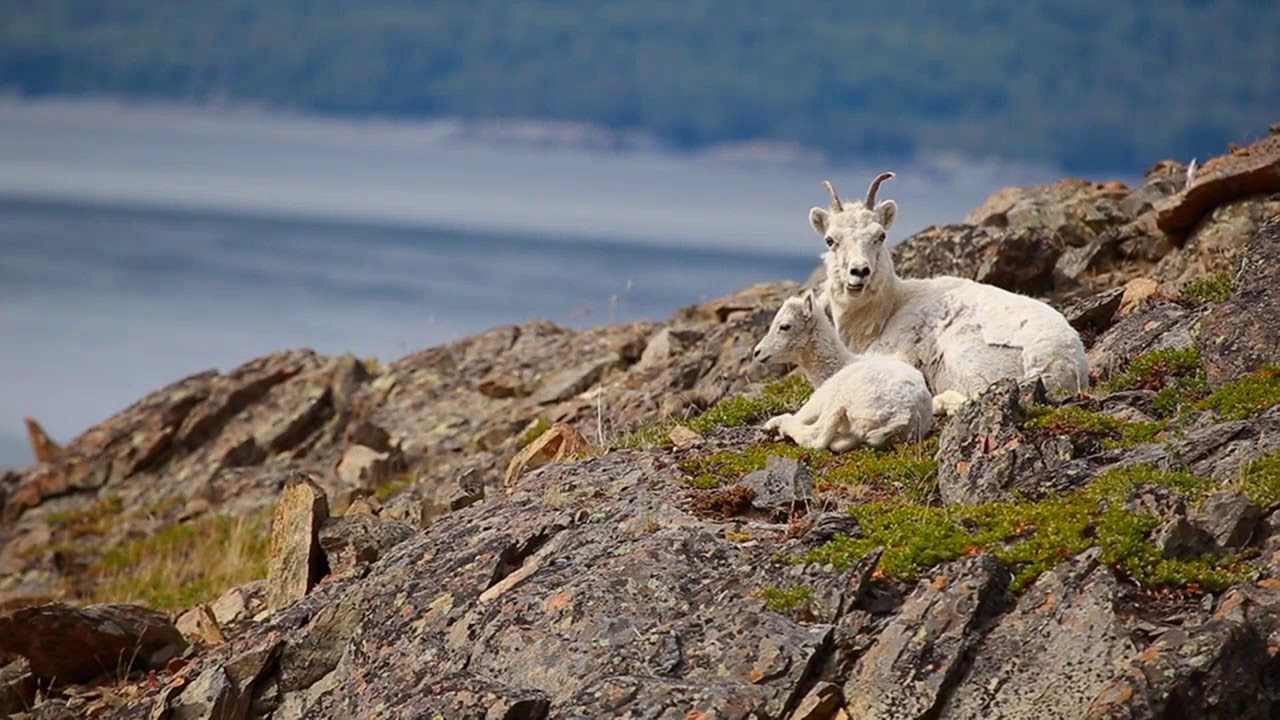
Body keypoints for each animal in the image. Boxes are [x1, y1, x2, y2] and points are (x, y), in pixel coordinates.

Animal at [752, 289, 933, 452]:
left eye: (785, 326)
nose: (757, 352)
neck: (840, 364)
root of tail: (900, 418)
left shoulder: (819, 400)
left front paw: (771, 424)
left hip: (840, 398)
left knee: (817, 437)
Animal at [811, 172, 1089, 414]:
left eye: (880, 236)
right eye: (830, 240)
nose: (859, 272)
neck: (885, 314)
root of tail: (1061, 364)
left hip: (966, 354)